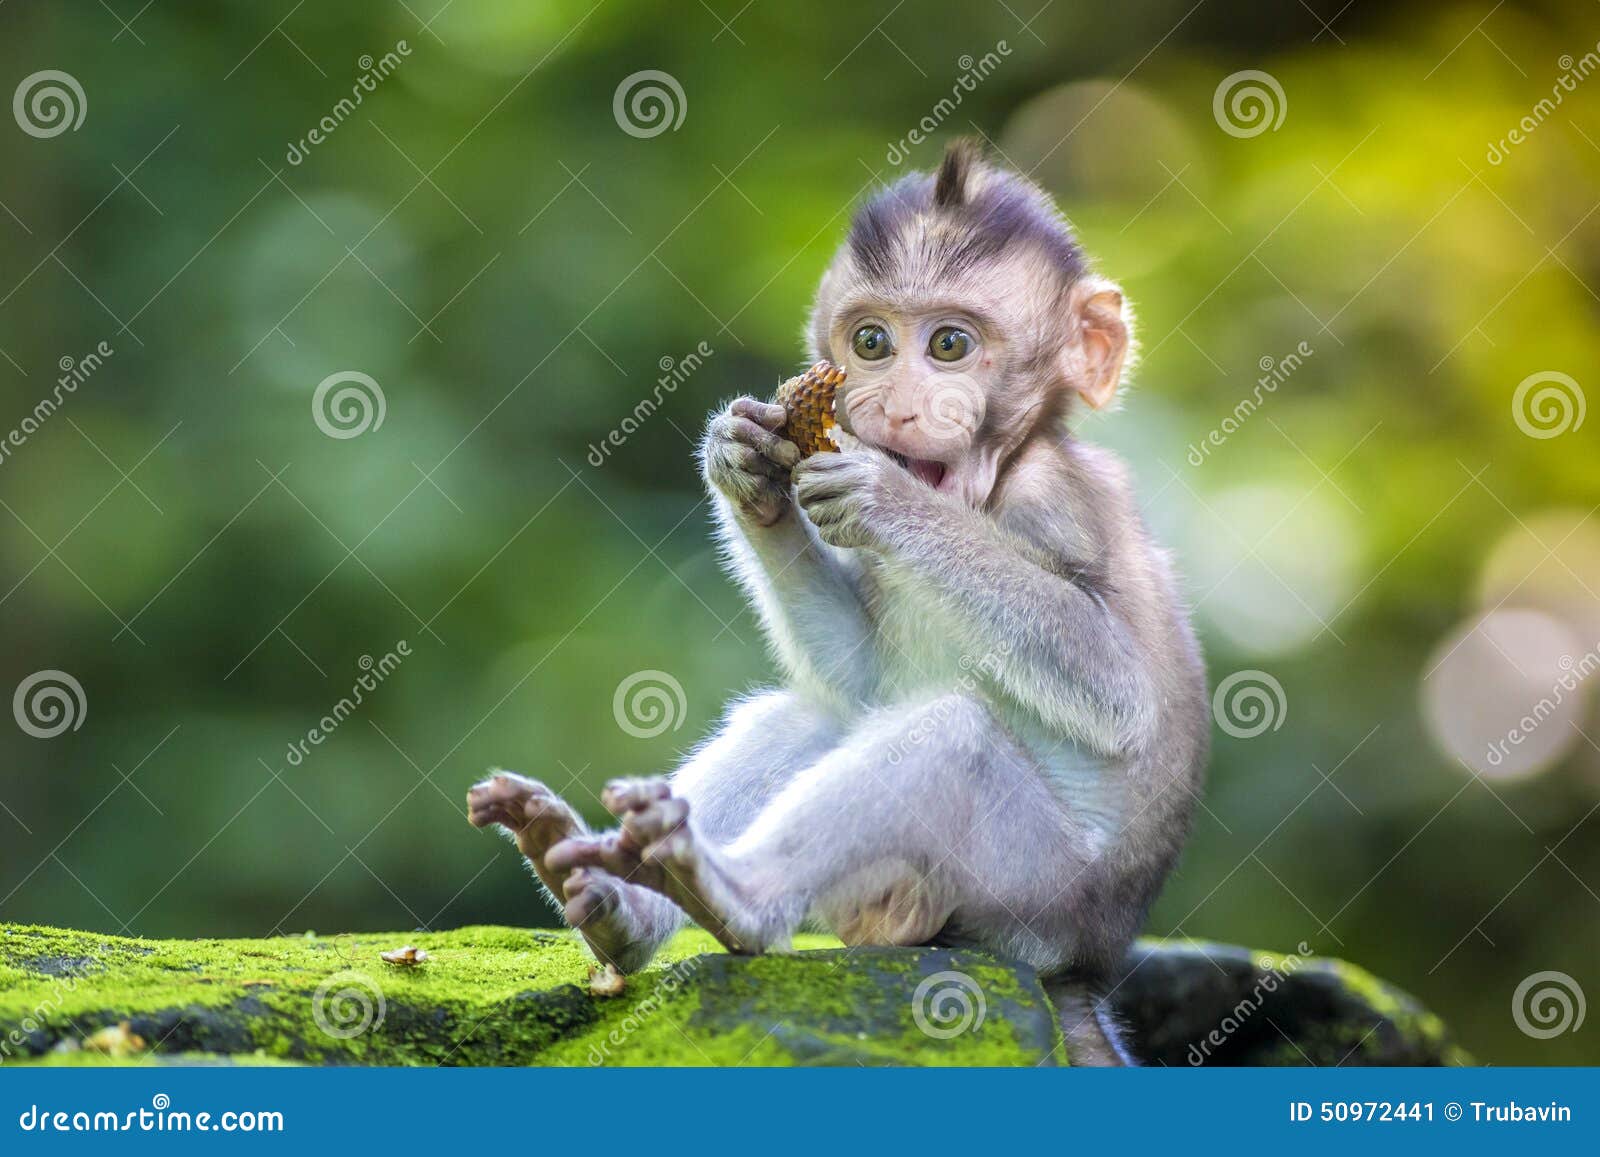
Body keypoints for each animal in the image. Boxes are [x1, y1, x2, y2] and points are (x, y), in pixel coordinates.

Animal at [468, 139, 1208, 1066]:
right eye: (871, 341)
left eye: (951, 345)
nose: (891, 404)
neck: (988, 484)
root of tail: (1084, 964)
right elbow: (860, 677)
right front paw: (745, 470)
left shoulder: (1055, 501)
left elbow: (1117, 693)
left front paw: (885, 498)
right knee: (808, 716)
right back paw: (620, 903)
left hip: (1025, 897)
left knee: (952, 741)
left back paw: (734, 895)